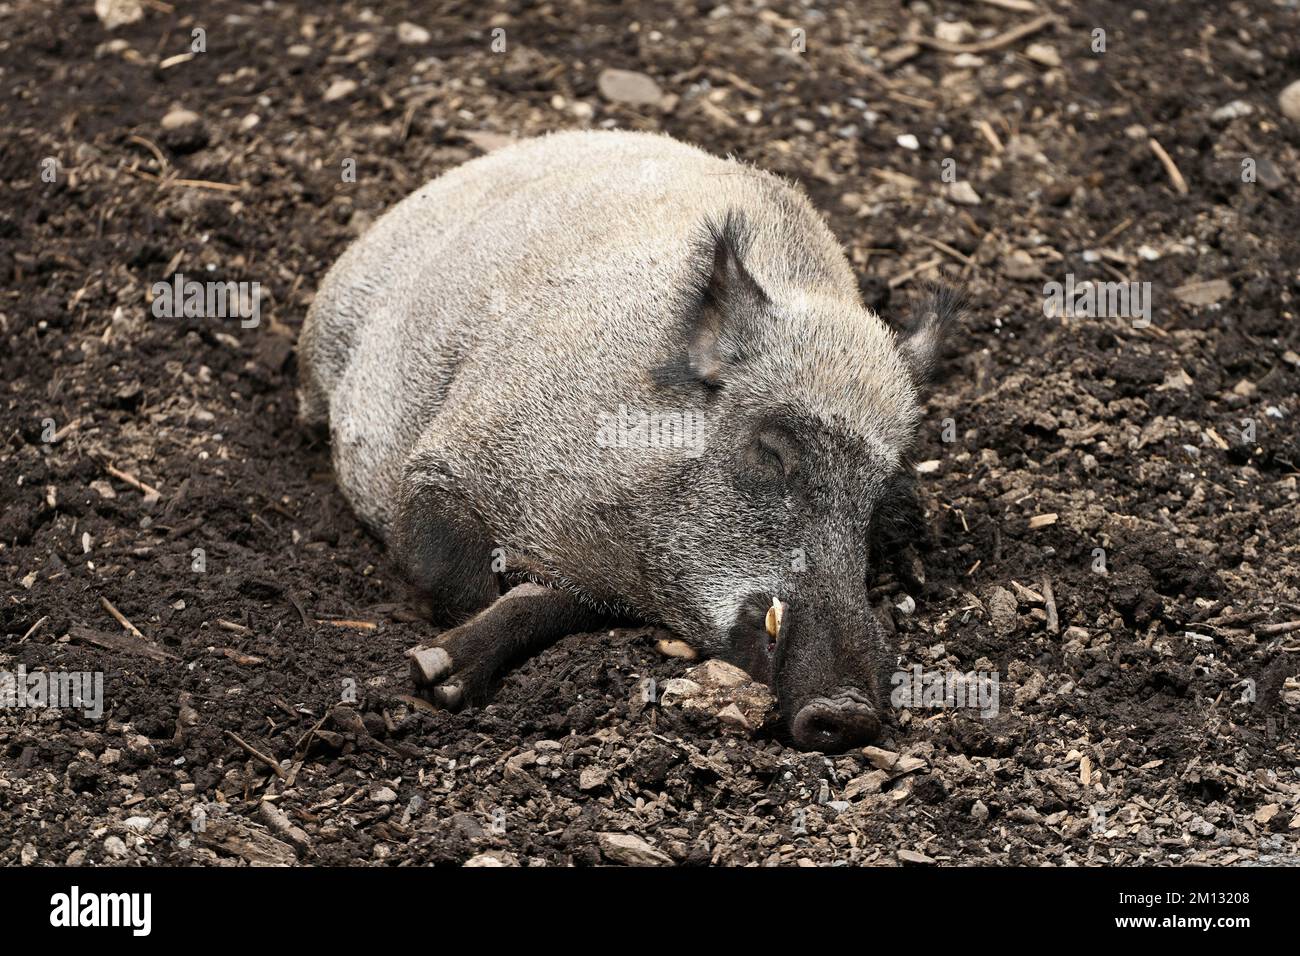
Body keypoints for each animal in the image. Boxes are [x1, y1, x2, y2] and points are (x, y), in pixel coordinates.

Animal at [298, 130, 957, 752]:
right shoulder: (448, 457)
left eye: (878, 501)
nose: (849, 713)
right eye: (771, 450)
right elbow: (456, 578)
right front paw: (429, 671)